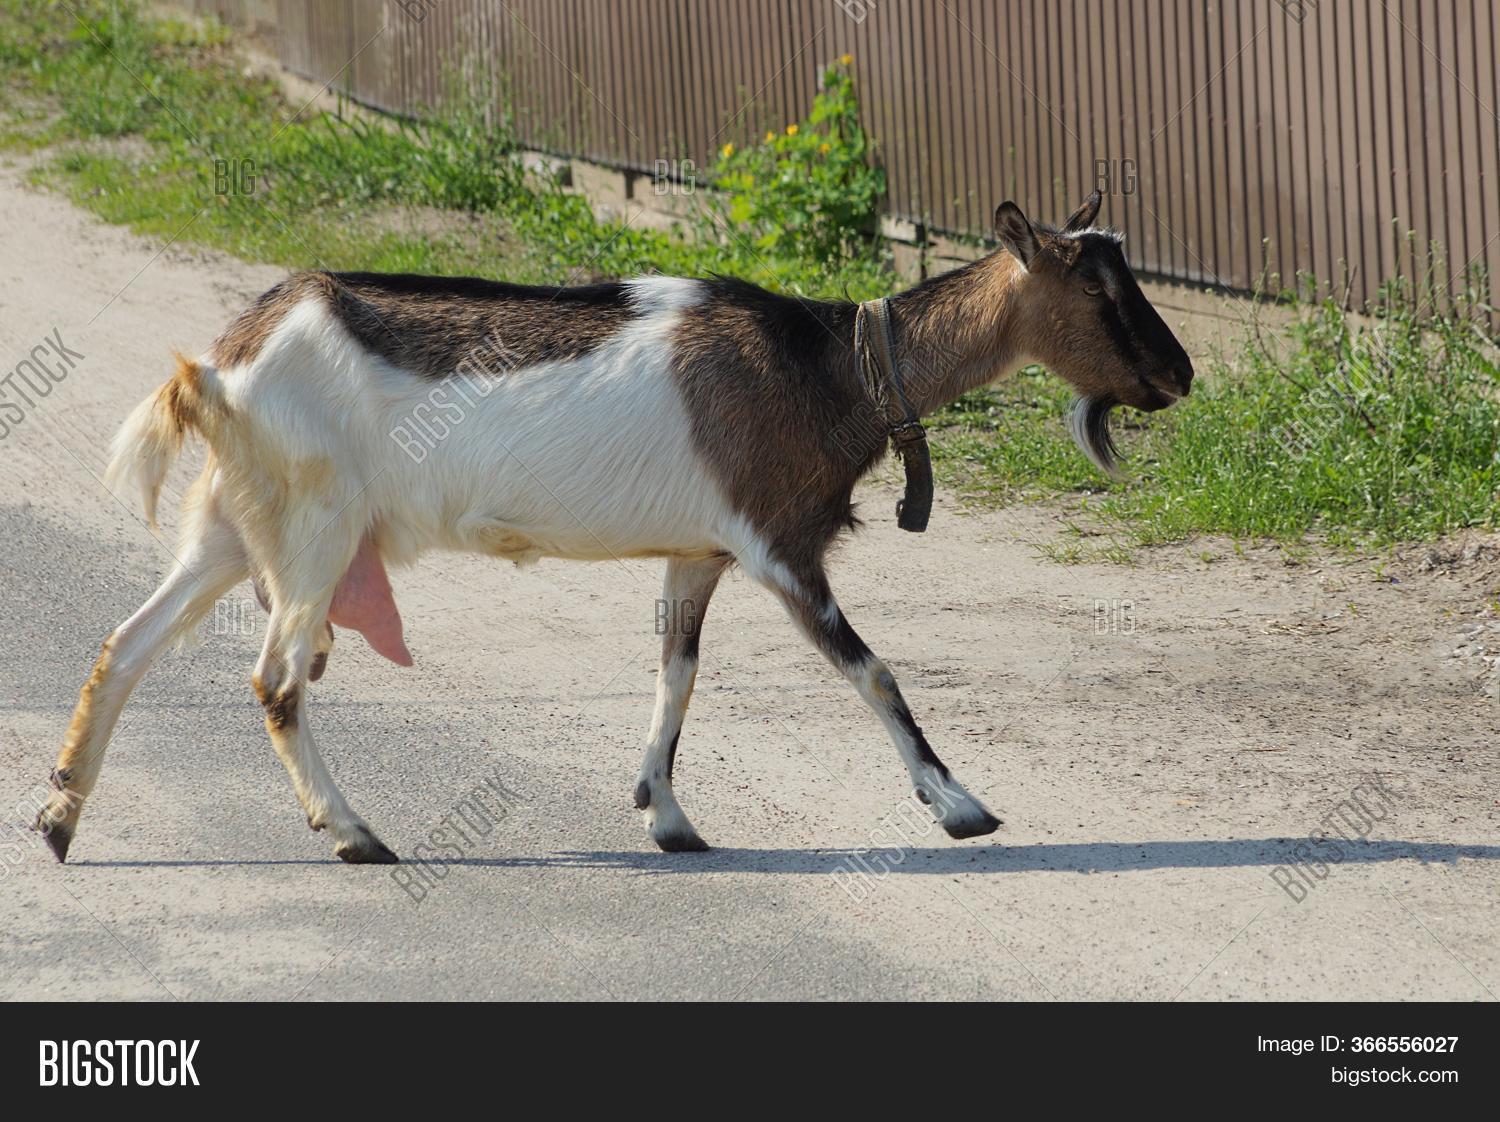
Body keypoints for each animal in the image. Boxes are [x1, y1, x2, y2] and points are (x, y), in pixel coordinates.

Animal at [35, 191, 1192, 863]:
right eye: (1099, 290)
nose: (1180, 374)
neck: (837, 365)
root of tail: (220, 361)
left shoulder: (699, 552)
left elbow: (676, 675)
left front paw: (667, 814)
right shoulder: (779, 544)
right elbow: (872, 672)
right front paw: (959, 804)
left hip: (234, 524)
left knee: (126, 644)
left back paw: (58, 819)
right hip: (315, 527)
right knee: (275, 680)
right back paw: (355, 833)